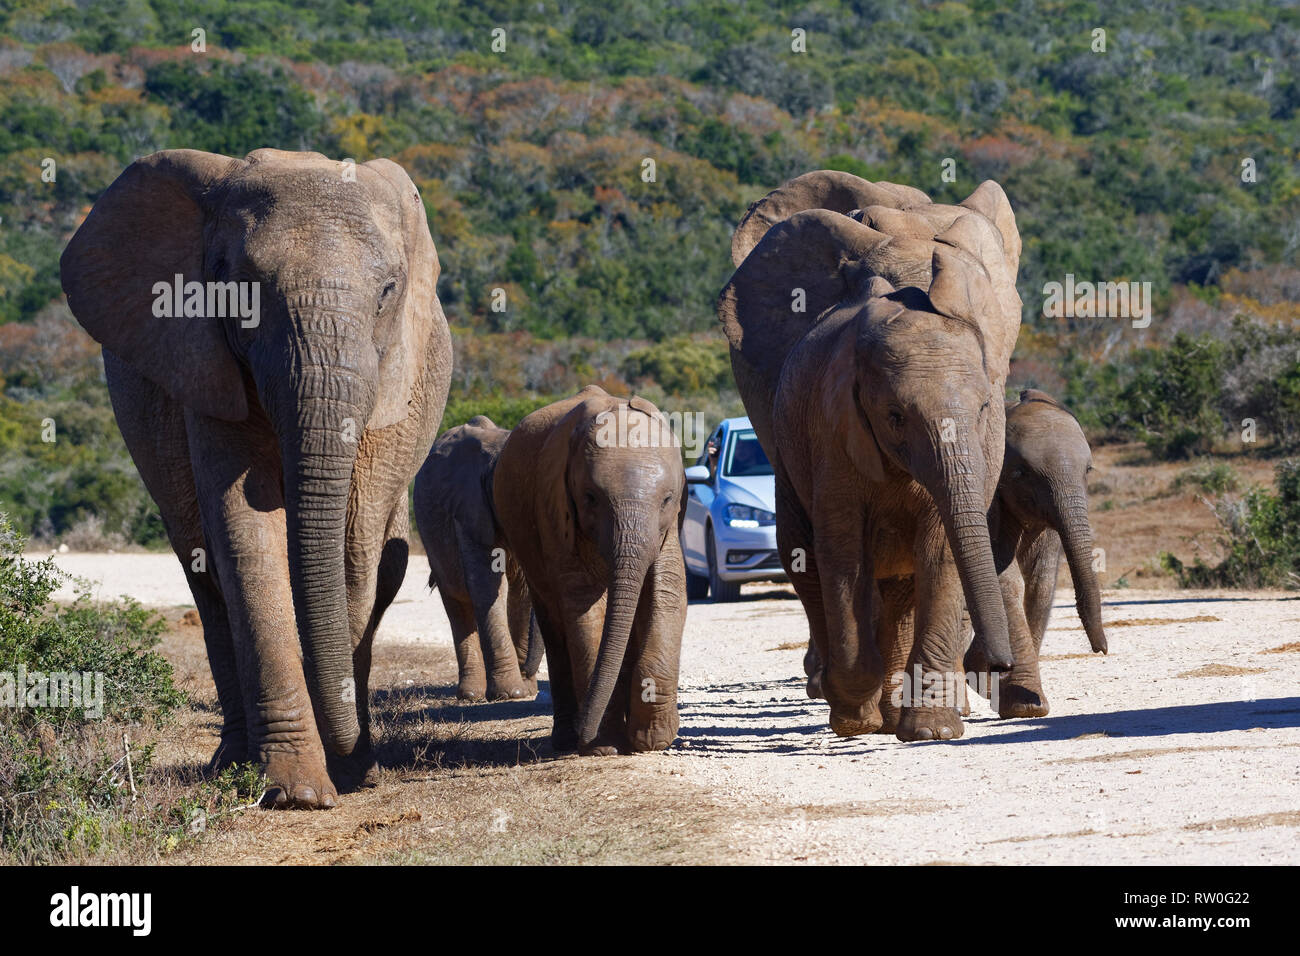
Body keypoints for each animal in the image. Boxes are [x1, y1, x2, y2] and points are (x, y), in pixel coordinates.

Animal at [60, 149, 452, 808]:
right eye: (241, 290)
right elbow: (246, 535)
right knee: (202, 566)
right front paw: (297, 791)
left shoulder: (390, 383)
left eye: (387, 293)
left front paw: (343, 774)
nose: (348, 758)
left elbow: (351, 545)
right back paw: (233, 764)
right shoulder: (203, 362)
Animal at [413, 415, 543, 701]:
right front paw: (510, 693)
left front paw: (525, 690)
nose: (526, 672)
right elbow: (487, 583)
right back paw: (471, 694)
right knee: (456, 600)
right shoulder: (469, 509)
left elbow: (523, 589)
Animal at [492, 386, 686, 755]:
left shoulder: (669, 529)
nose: (586, 730)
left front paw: (652, 741)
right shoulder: (555, 510)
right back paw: (566, 739)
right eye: (590, 497)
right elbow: (585, 608)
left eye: (668, 499)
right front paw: (603, 746)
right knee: (555, 627)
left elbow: (667, 594)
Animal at [718, 170, 1023, 742]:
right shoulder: (831, 423)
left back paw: (892, 712)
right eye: (895, 416)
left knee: (899, 584)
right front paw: (854, 713)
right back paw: (855, 708)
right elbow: (841, 550)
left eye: (982, 407)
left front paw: (931, 730)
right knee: (805, 555)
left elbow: (941, 548)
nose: (997, 664)